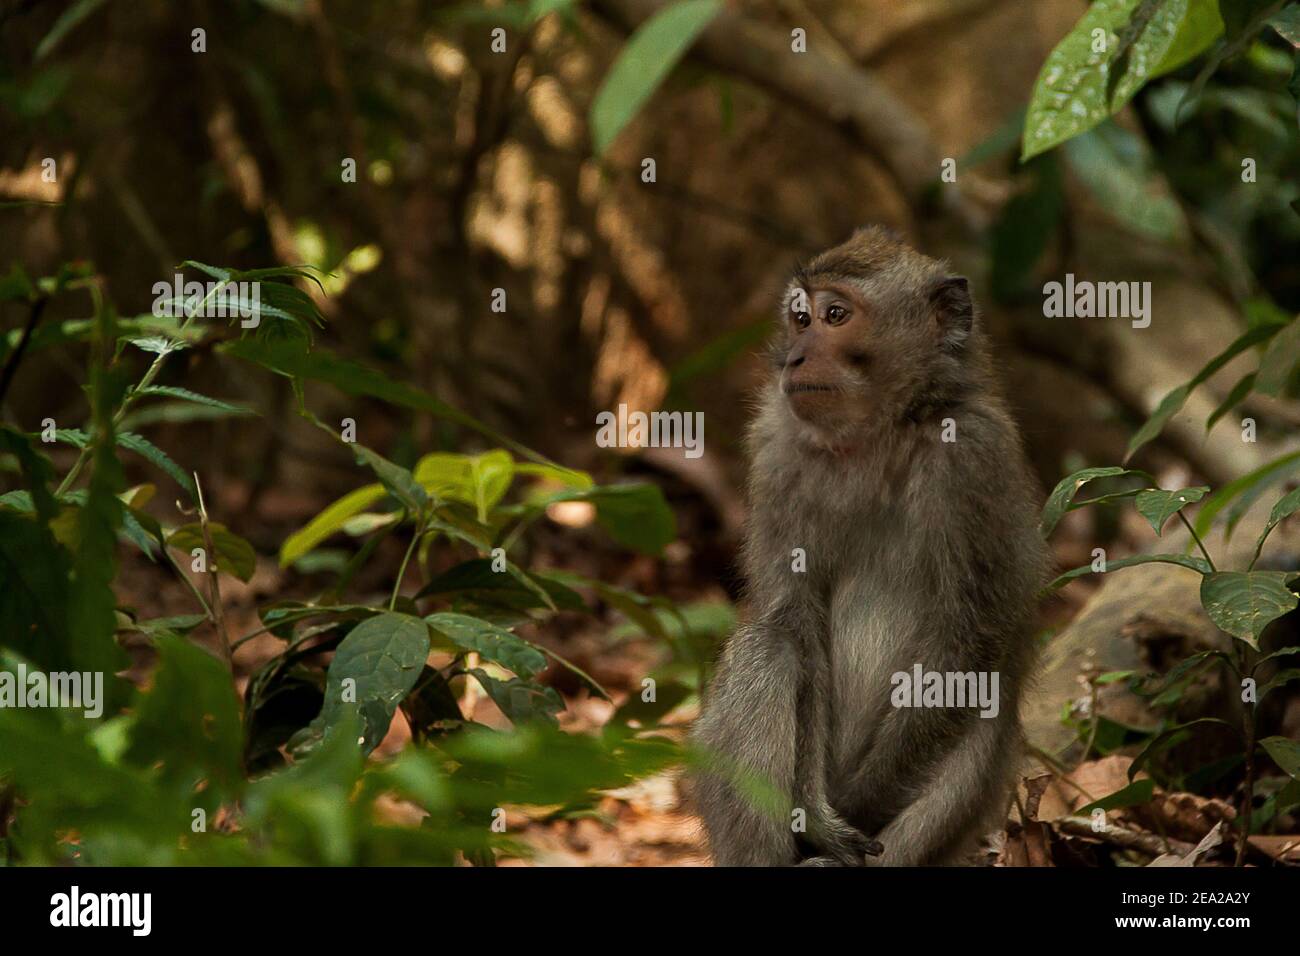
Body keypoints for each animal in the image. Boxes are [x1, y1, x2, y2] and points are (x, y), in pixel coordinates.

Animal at [692, 227, 1049, 866]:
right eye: (800, 317)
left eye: (835, 316)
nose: (795, 355)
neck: (878, 434)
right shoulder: (776, 448)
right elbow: (797, 616)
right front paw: (820, 818)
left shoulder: (974, 455)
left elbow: (968, 648)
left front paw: (858, 810)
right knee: (769, 645)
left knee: (985, 704)